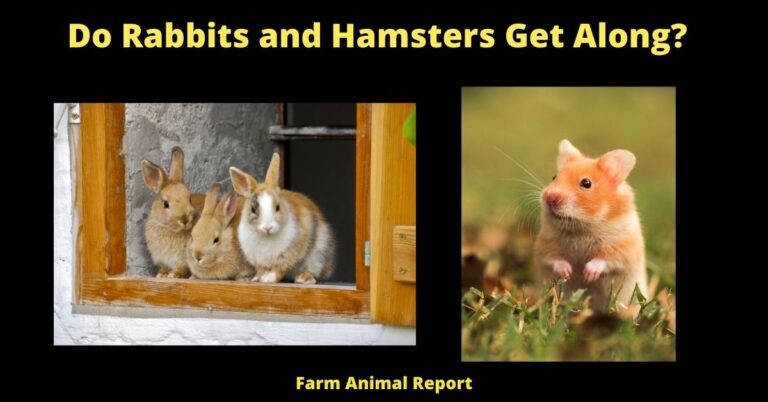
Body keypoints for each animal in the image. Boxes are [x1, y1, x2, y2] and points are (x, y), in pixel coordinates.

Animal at [141, 146, 205, 278]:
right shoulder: (161, 258)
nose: (184, 220)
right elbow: (164, 267)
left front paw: (174, 275)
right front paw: (161, 275)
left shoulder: (183, 260)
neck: (169, 230)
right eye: (166, 204)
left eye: (189, 199)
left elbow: (181, 268)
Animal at [229, 153, 336, 284]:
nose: (268, 228)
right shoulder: (257, 259)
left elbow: (279, 269)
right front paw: (257, 278)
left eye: (277, 207)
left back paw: (303, 278)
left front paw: (268, 279)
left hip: (319, 255)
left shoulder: (288, 255)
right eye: (253, 209)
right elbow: (261, 269)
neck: (266, 237)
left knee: (314, 272)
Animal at [534, 140, 647, 311]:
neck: (581, 228)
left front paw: (587, 276)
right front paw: (568, 273)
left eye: (586, 183)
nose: (550, 198)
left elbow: (604, 259)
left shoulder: (624, 247)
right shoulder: (545, 244)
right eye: (554, 177)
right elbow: (554, 258)